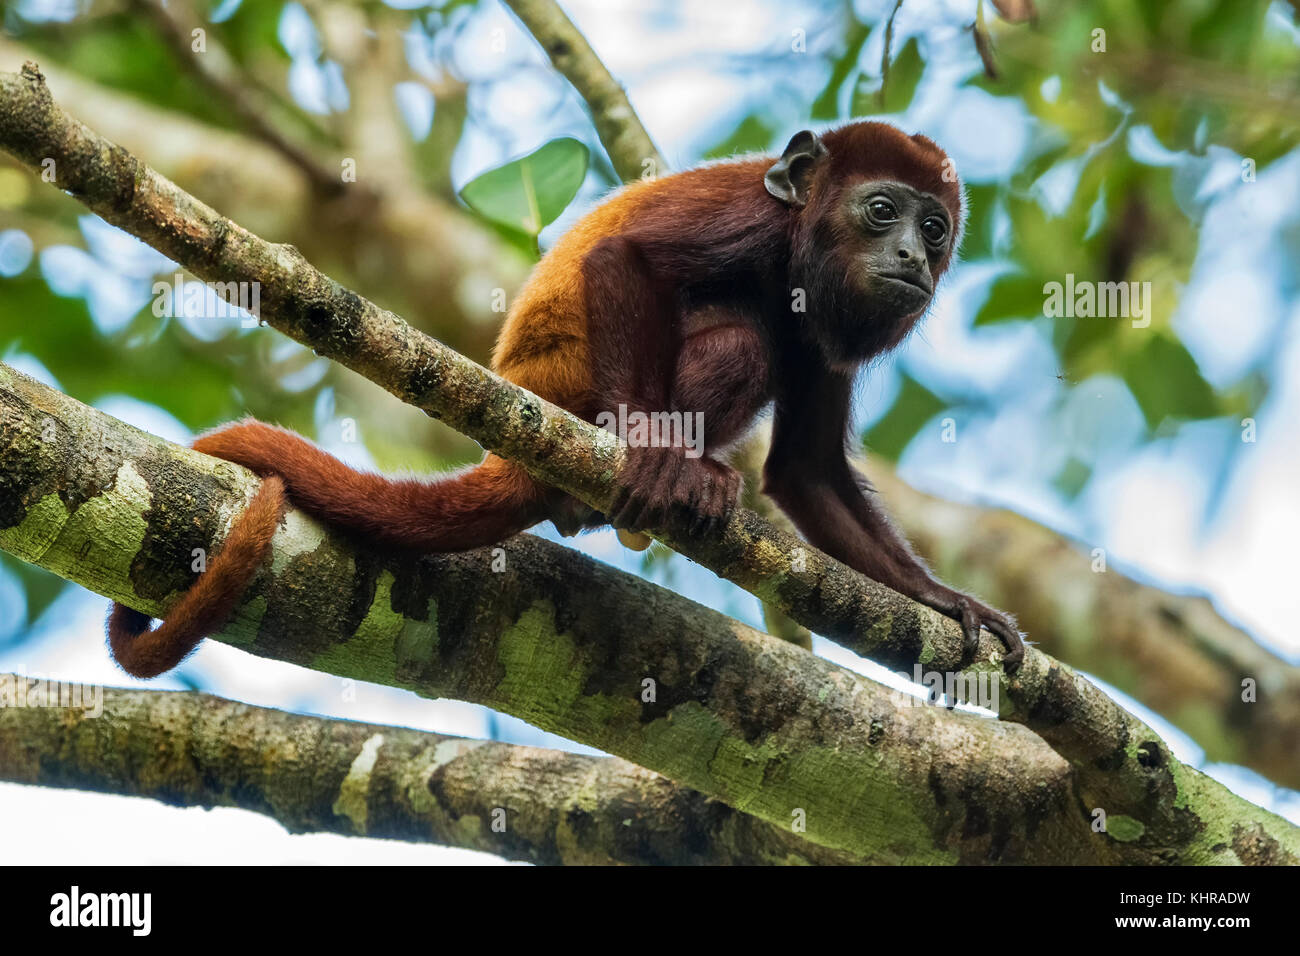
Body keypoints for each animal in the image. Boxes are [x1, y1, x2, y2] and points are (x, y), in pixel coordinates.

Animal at [108, 121, 1025, 678]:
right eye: (881, 210)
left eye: (935, 228)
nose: (913, 256)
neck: (803, 243)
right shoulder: (751, 220)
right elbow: (627, 261)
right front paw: (651, 447)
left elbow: (805, 471)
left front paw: (949, 601)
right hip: (571, 389)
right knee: (740, 337)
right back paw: (667, 474)